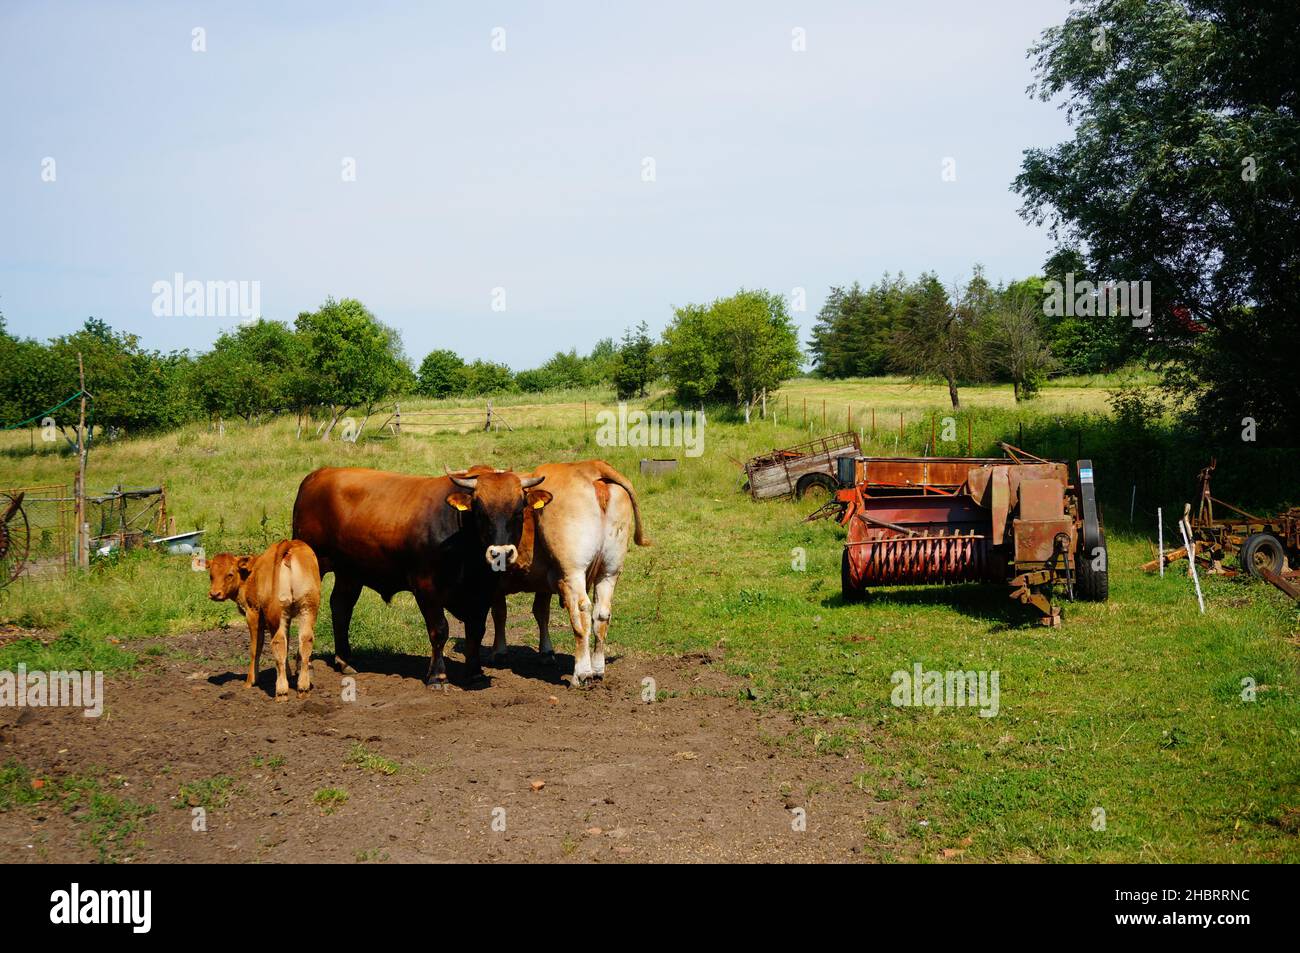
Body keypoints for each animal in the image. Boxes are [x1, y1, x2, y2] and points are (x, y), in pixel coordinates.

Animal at [207, 539, 321, 700]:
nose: (214, 594)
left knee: (278, 642)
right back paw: (303, 688)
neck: (248, 575)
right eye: (211, 575)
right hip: (307, 607)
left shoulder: (253, 613)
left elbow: (255, 648)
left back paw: (281, 691)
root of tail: (289, 544)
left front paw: (250, 681)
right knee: (305, 641)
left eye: (230, 574)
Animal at [290, 466, 551, 685]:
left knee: (341, 607)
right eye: (480, 511)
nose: (501, 553)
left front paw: (475, 672)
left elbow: (476, 630)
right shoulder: (427, 588)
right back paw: (306, 665)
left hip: (350, 572)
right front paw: (437, 675)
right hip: (315, 565)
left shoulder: (483, 592)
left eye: (518, 511)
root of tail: (317, 475)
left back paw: (344, 661)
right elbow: (439, 629)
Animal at [479, 460, 649, 686]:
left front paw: (499, 652)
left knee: (581, 612)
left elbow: (499, 613)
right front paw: (545, 653)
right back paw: (597, 670)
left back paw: (582, 674)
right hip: (609, 571)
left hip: (573, 573)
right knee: (601, 615)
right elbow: (540, 612)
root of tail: (593, 468)